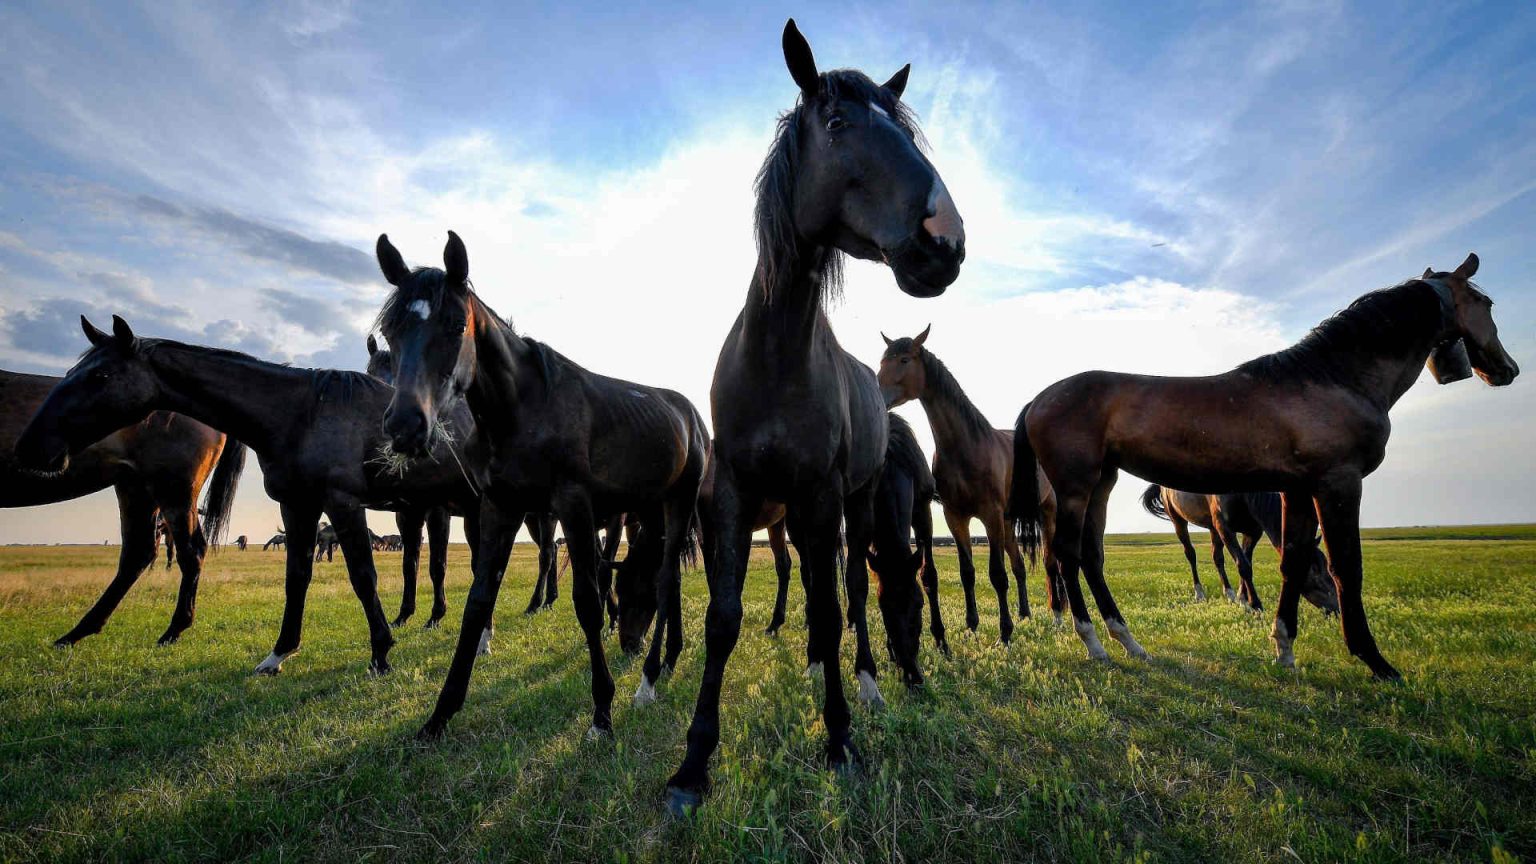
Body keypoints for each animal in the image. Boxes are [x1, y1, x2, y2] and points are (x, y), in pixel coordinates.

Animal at [1, 367, 244, 646]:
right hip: (136, 487)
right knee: (139, 552)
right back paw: (79, 631)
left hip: (172, 489)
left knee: (189, 551)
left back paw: (172, 630)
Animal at [366, 334, 559, 627]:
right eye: (369, 373)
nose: (398, 428)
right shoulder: (408, 515)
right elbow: (409, 564)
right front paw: (403, 615)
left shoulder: (439, 511)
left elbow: (438, 565)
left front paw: (436, 615)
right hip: (530, 518)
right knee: (552, 552)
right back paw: (549, 600)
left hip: (544, 517)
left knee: (546, 555)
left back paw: (535, 603)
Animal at [665, 20, 965, 816]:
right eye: (836, 123)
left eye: (907, 131)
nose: (945, 238)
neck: (775, 357)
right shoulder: (735, 496)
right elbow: (724, 618)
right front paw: (693, 764)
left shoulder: (824, 495)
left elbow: (835, 609)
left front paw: (839, 739)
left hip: (854, 505)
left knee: (855, 590)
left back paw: (865, 679)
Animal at [878, 325, 1064, 646]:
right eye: (882, 360)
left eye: (903, 359)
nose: (876, 393)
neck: (966, 446)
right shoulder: (957, 517)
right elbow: (968, 572)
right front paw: (971, 626)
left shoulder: (989, 515)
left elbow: (997, 575)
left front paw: (1004, 634)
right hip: (1008, 521)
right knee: (1019, 566)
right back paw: (1025, 615)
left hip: (1046, 514)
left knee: (1051, 563)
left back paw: (1058, 617)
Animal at [1140, 485, 1339, 613]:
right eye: (1314, 574)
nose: (1337, 608)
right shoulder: (1225, 528)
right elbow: (1243, 566)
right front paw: (1256, 605)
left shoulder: (1252, 531)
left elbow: (1246, 562)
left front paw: (1243, 599)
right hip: (1179, 520)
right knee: (1191, 554)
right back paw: (1199, 593)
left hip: (1212, 528)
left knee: (1217, 558)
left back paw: (1229, 594)